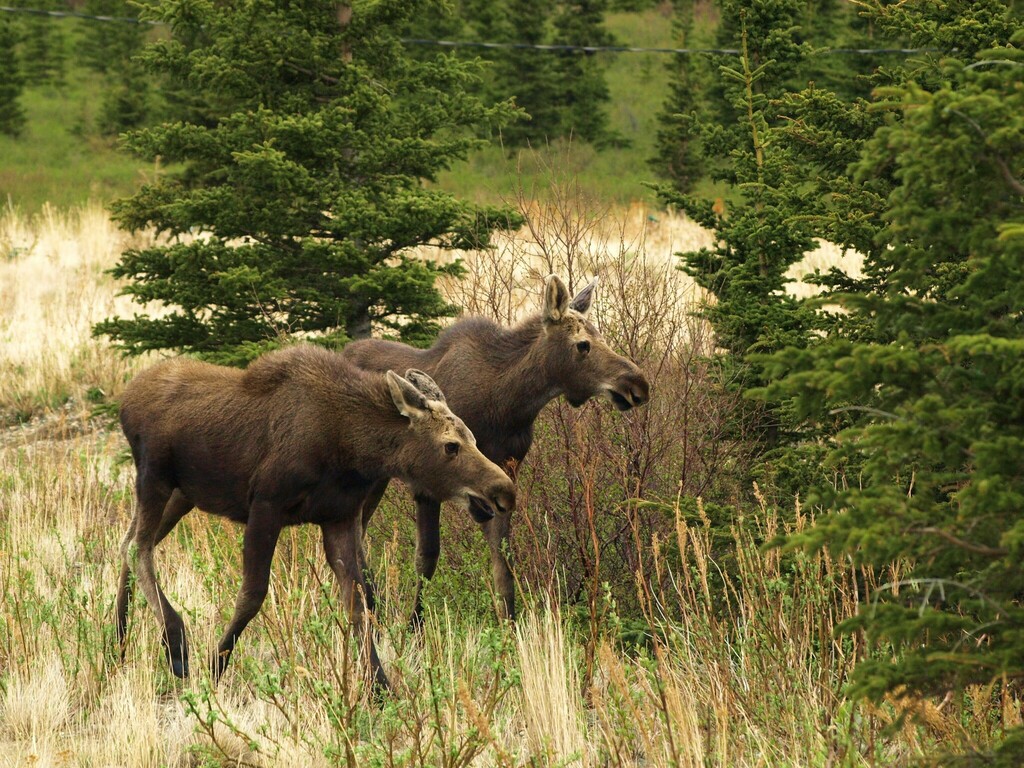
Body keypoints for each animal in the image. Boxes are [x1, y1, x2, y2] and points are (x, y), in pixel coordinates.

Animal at [114, 344, 516, 691]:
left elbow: (358, 605)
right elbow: (252, 594)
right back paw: (175, 643)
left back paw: (118, 641)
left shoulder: (339, 518)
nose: (504, 491)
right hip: (154, 476)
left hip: (182, 493)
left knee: (129, 542)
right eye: (451, 445)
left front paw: (381, 688)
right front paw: (215, 665)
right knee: (138, 546)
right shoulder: (266, 505)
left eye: (473, 437)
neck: (352, 448)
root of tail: (124, 399)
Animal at [341, 274, 650, 624]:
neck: (506, 402)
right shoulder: (428, 482)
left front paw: (509, 625)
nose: (638, 384)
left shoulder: (504, 475)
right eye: (583, 344)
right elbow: (427, 558)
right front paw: (413, 625)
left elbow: (503, 561)